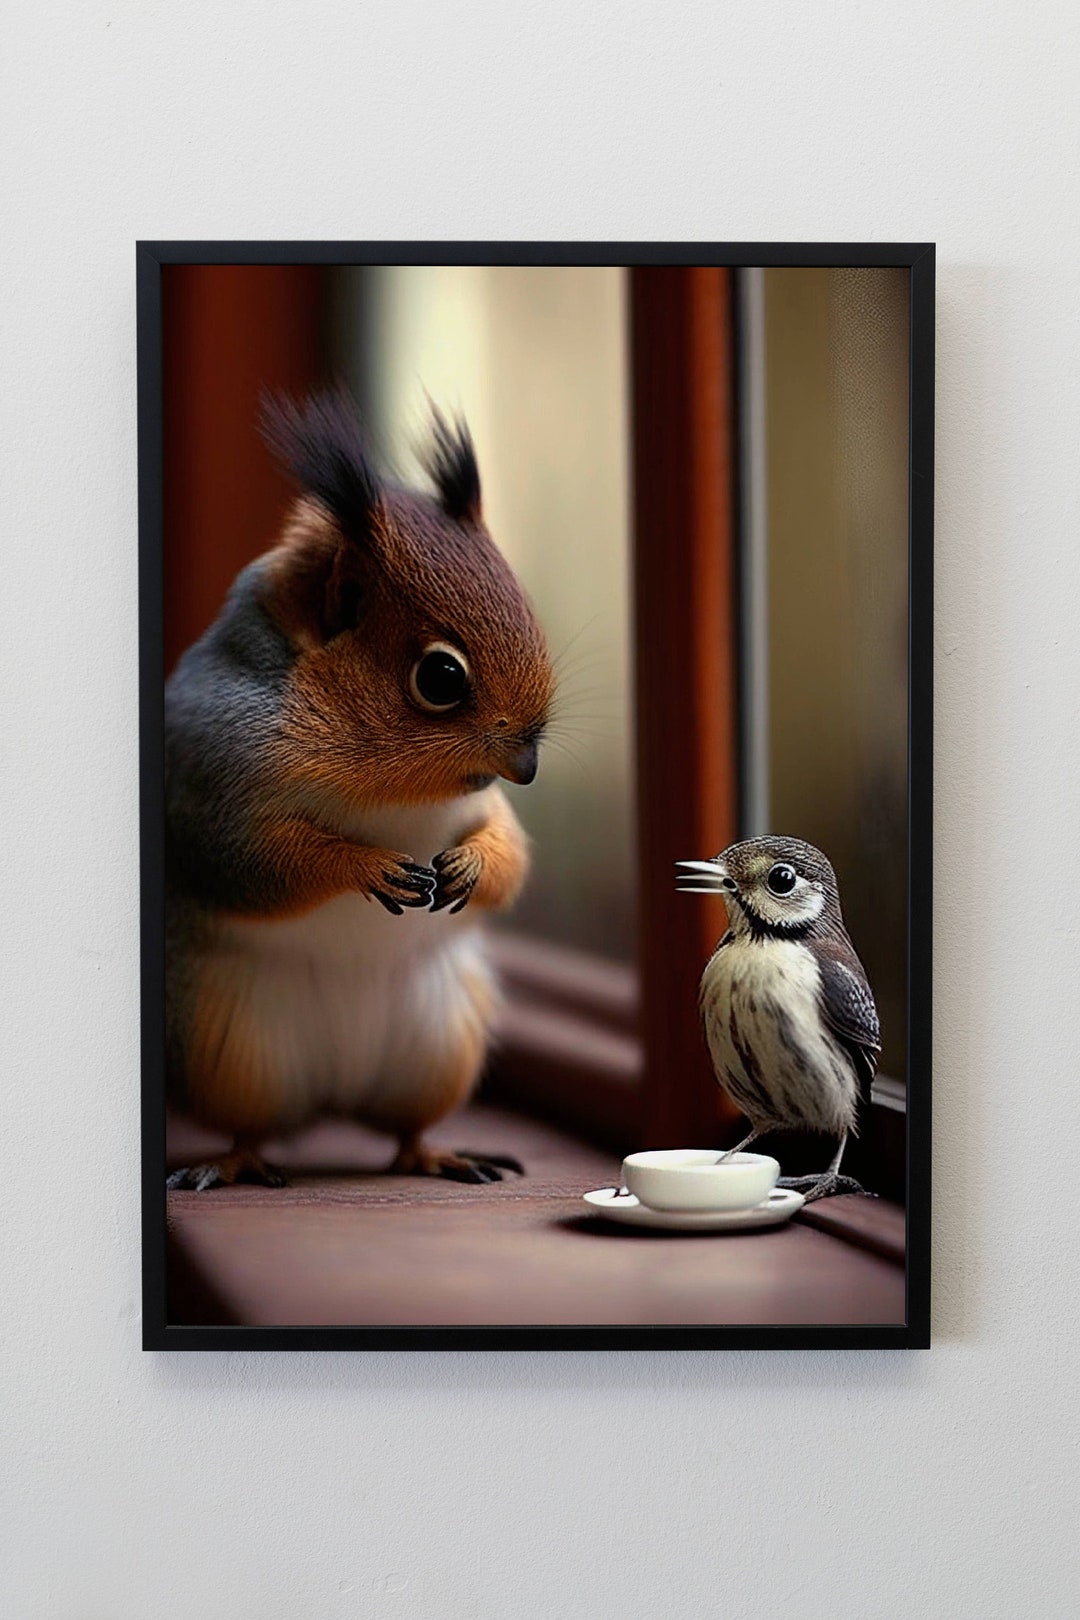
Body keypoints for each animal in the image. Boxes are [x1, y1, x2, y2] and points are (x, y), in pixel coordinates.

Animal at [165, 391, 554, 1190]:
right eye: (440, 677)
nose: (530, 762)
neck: (385, 785)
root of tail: (335, 1093)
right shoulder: (210, 788)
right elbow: (254, 864)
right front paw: (362, 865)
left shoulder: (487, 803)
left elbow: (510, 856)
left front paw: (471, 866)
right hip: (231, 1044)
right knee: (249, 1125)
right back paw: (234, 1163)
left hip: (437, 1048)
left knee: (405, 1129)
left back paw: (439, 1154)